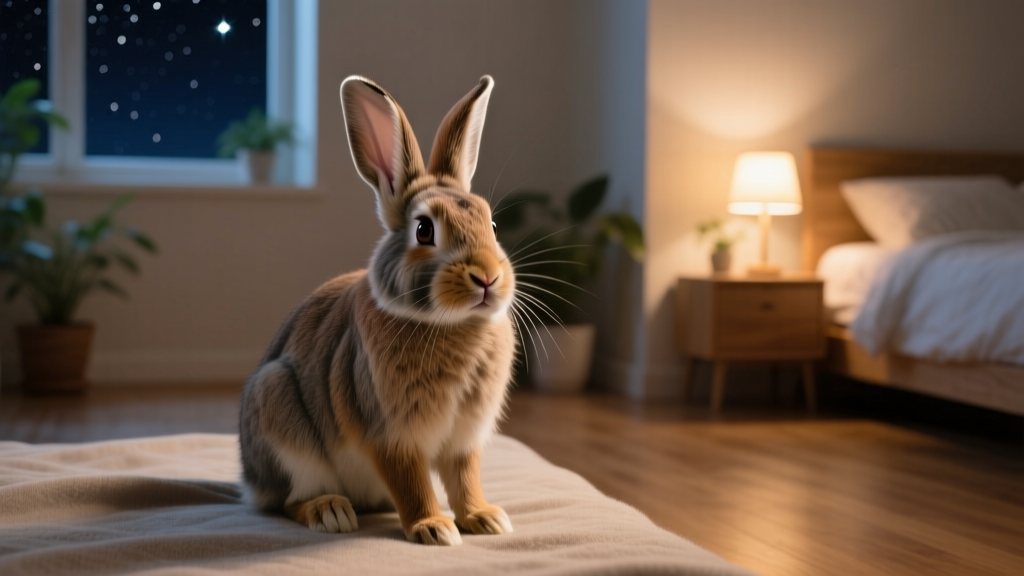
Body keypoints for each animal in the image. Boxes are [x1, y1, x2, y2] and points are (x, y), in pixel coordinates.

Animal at [238, 75, 516, 546]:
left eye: (492, 225)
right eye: (424, 230)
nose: (487, 278)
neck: (452, 324)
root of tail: (249, 482)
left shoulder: (464, 441)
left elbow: (465, 479)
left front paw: (485, 519)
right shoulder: (391, 435)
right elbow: (412, 481)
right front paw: (433, 528)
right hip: (279, 415)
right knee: (289, 501)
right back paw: (331, 512)